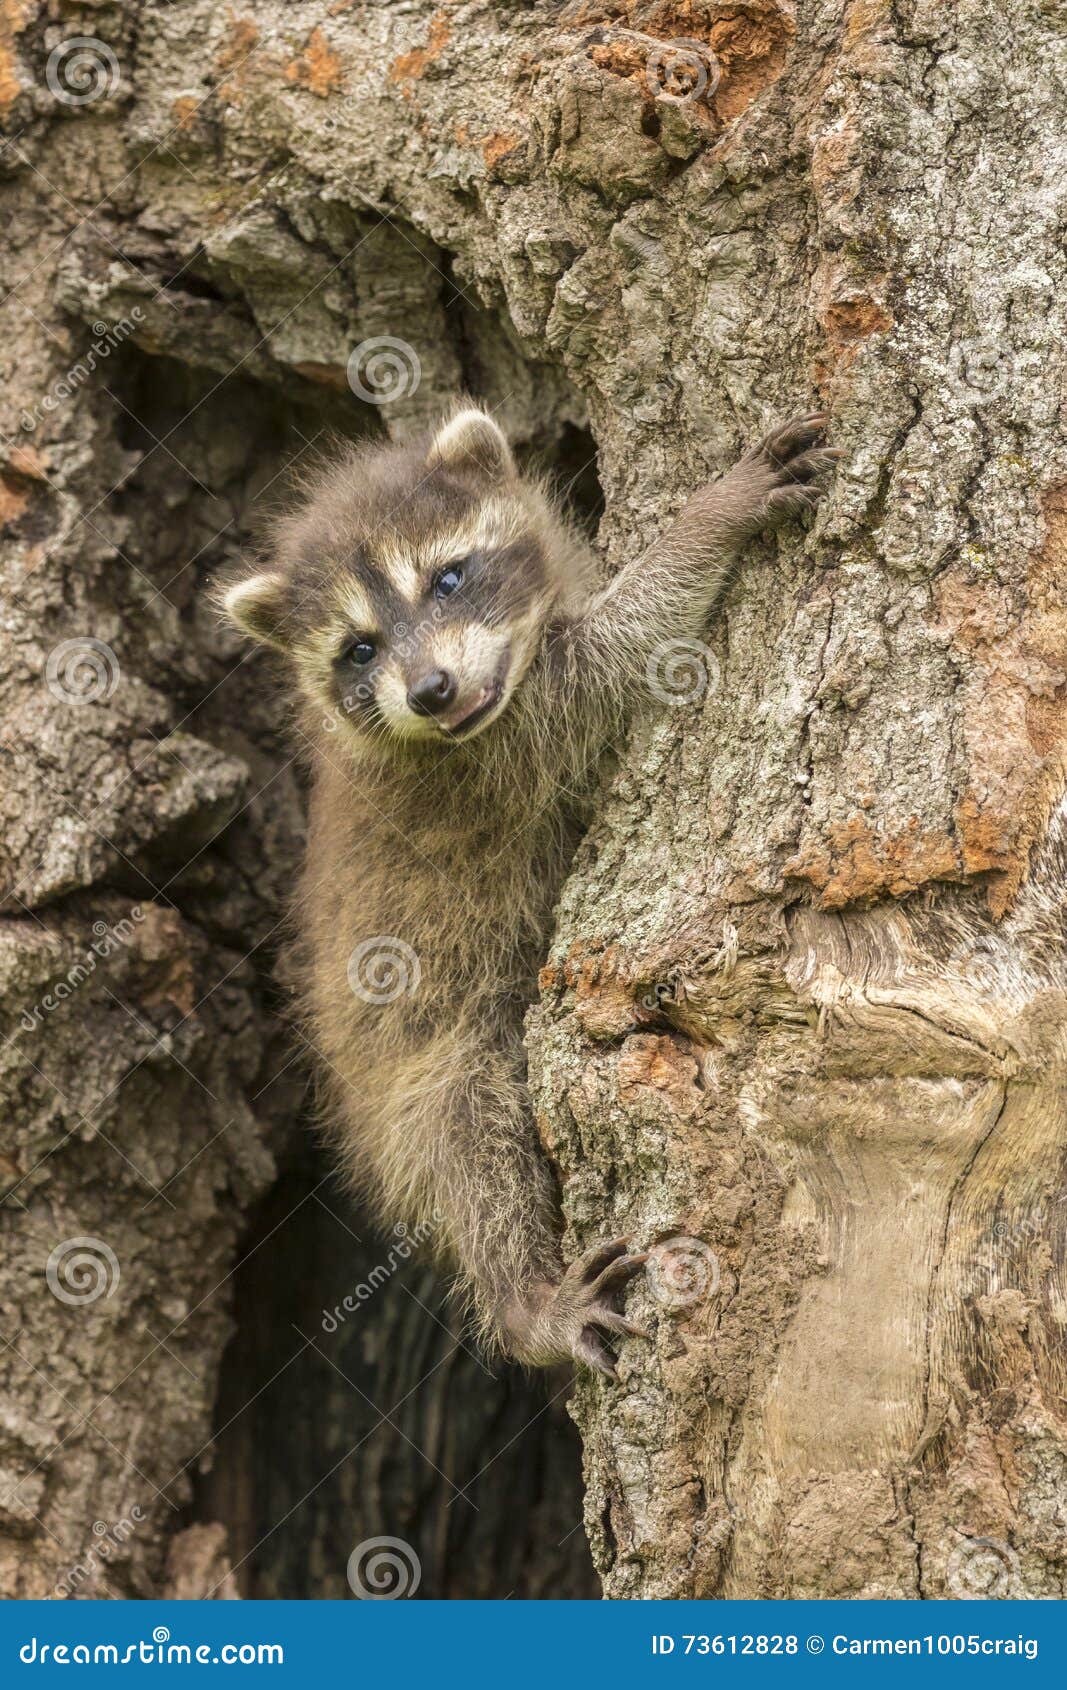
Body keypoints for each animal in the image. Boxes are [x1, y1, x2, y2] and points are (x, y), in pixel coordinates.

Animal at [221, 404, 837, 1375]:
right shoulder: (497, 756)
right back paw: (523, 1304)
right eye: (358, 649)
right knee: (474, 1144)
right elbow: (622, 649)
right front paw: (708, 517)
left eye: (447, 579)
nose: (431, 692)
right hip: (423, 1076)